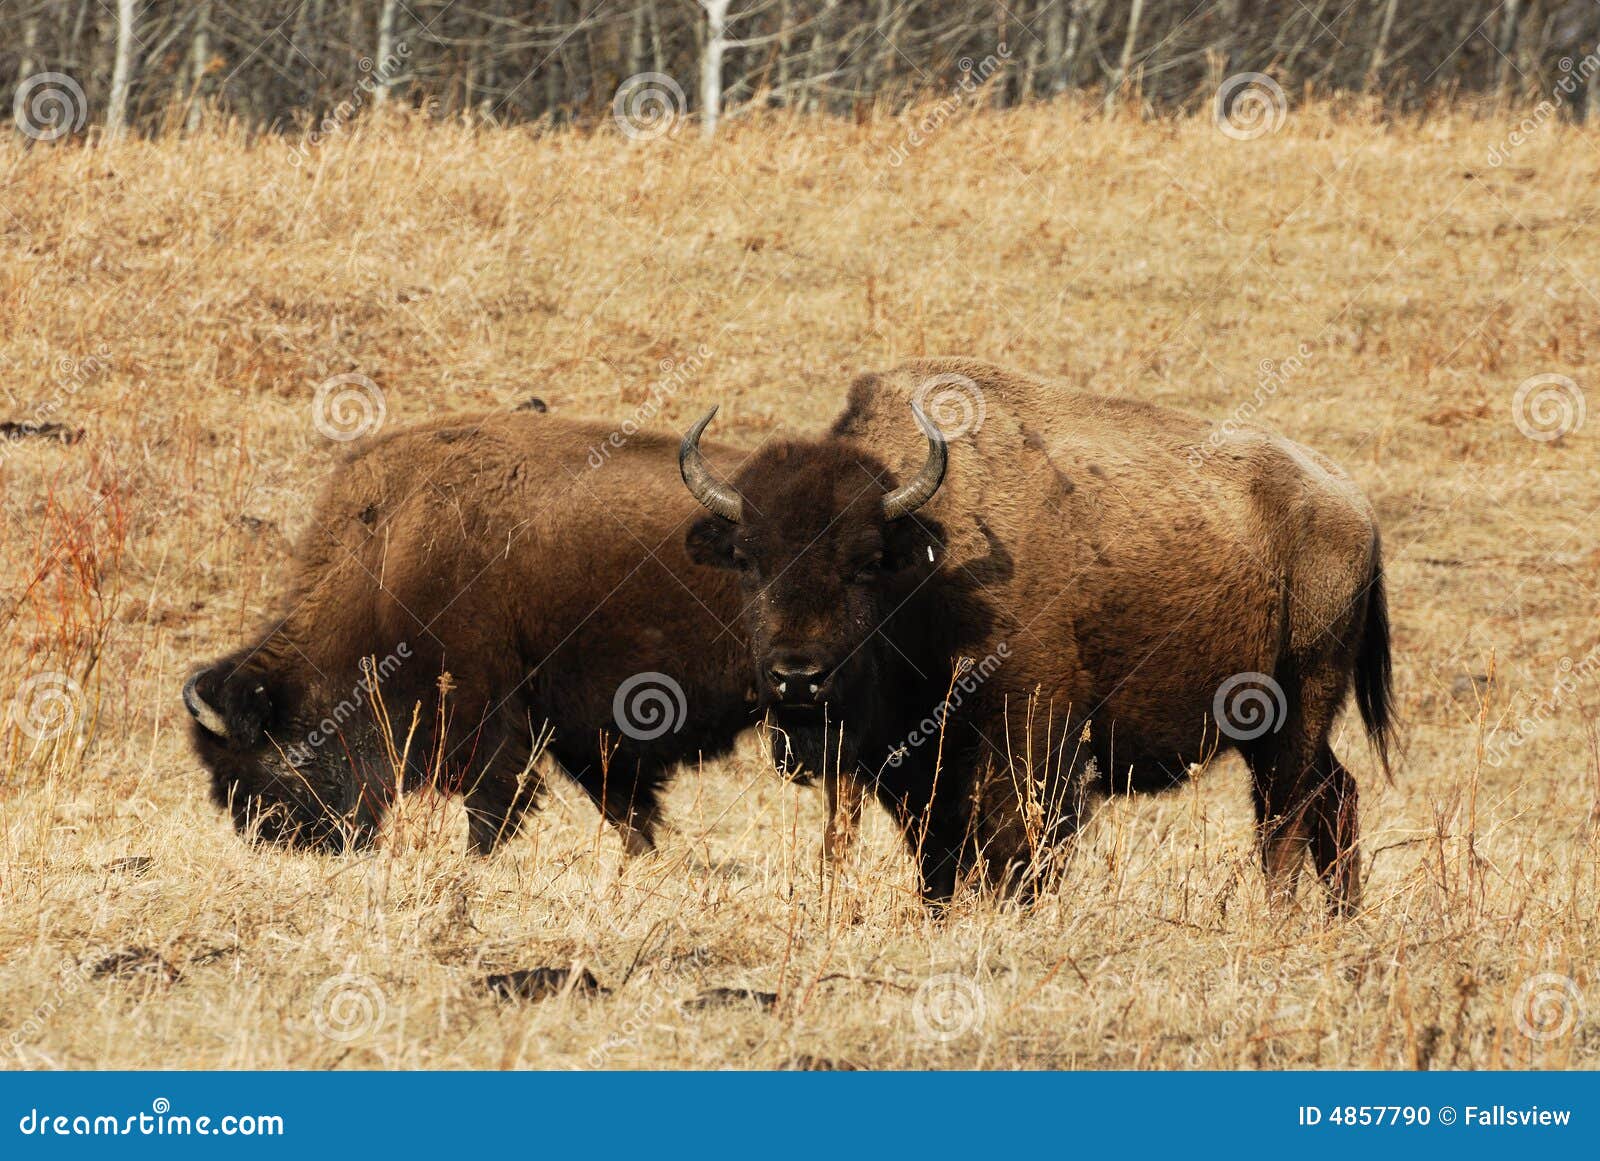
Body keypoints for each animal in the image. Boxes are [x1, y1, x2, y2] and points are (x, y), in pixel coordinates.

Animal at [680, 357, 1394, 912]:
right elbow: (937, 860)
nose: (797, 679)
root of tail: (1353, 503)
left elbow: (1015, 844)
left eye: (866, 563)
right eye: (746, 561)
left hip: (1301, 698)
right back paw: (1341, 918)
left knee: (1288, 812)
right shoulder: (917, 767)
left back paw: (1278, 916)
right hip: (1269, 724)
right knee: (1335, 796)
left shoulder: (1033, 730)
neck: (931, 559)